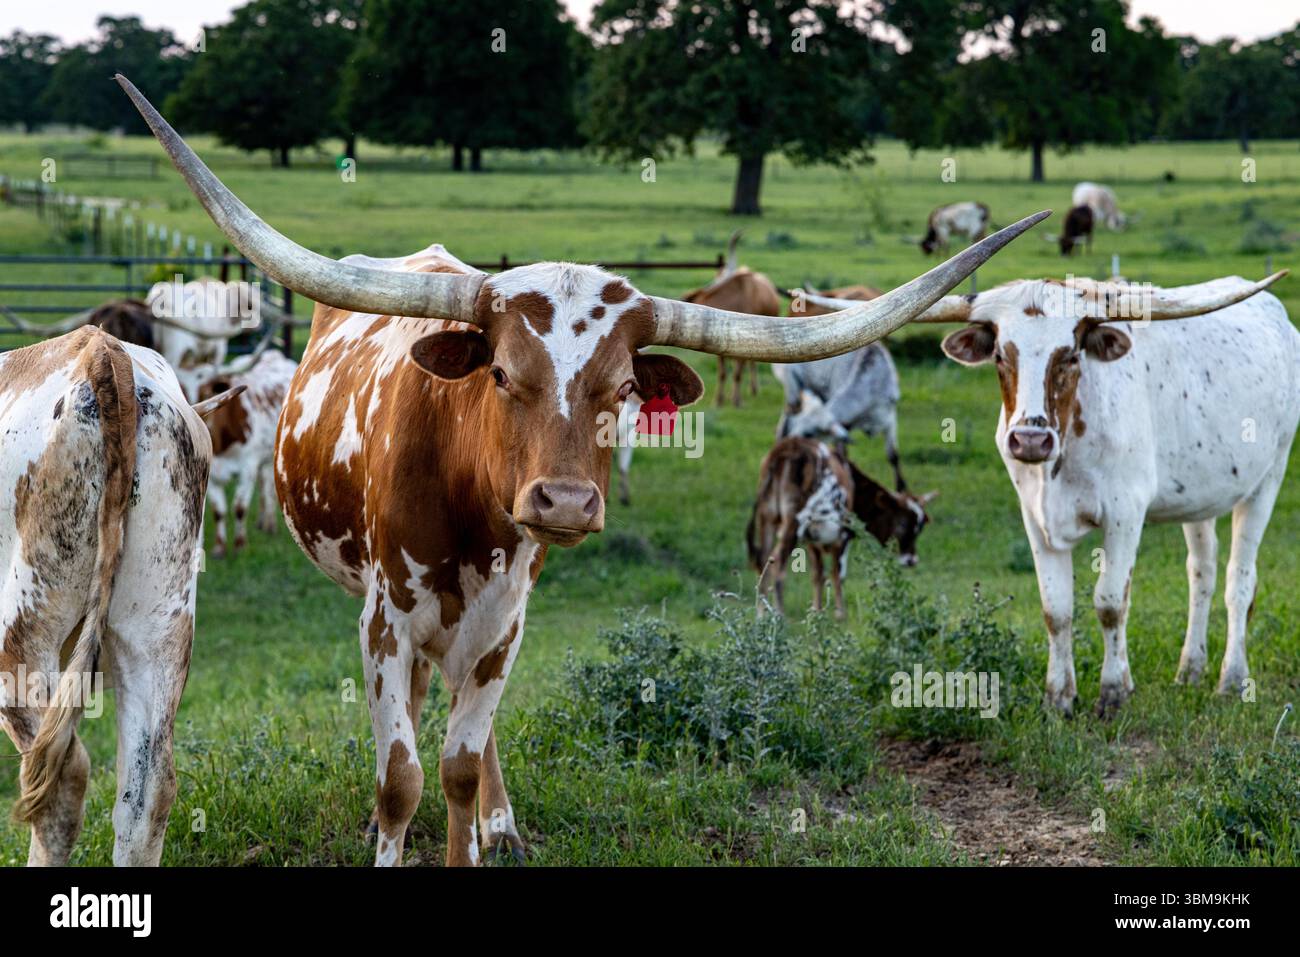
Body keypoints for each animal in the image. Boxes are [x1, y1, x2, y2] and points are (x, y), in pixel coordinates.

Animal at [194, 349, 297, 557]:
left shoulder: (247, 468)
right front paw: (219, 548)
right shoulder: (213, 473)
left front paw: (240, 546)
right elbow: (219, 511)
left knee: (268, 487)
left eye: (206, 391)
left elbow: (240, 508)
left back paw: (269, 524)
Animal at [746, 437, 934, 617]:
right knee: (777, 563)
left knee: (763, 560)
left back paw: (761, 615)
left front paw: (817, 612)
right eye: (902, 523)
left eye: (919, 528)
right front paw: (840, 614)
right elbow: (838, 574)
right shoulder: (842, 535)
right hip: (794, 522)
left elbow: (818, 575)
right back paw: (779, 615)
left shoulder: (812, 539)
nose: (911, 559)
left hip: (766, 518)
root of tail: (787, 447)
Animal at [927, 271, 1294, 717]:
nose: (1030, 440)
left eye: (1070, 355)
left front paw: (1114, 691)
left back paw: (1232, 679)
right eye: (1000, 355)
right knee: (1202, 572)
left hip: (1269, 476)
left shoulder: (1125, 513)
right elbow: (1056, 608)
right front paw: (1058, 698)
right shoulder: (1035, 517)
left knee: (1239, 580)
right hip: (1200, 496)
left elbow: (1110, 602)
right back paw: (1190, 670)